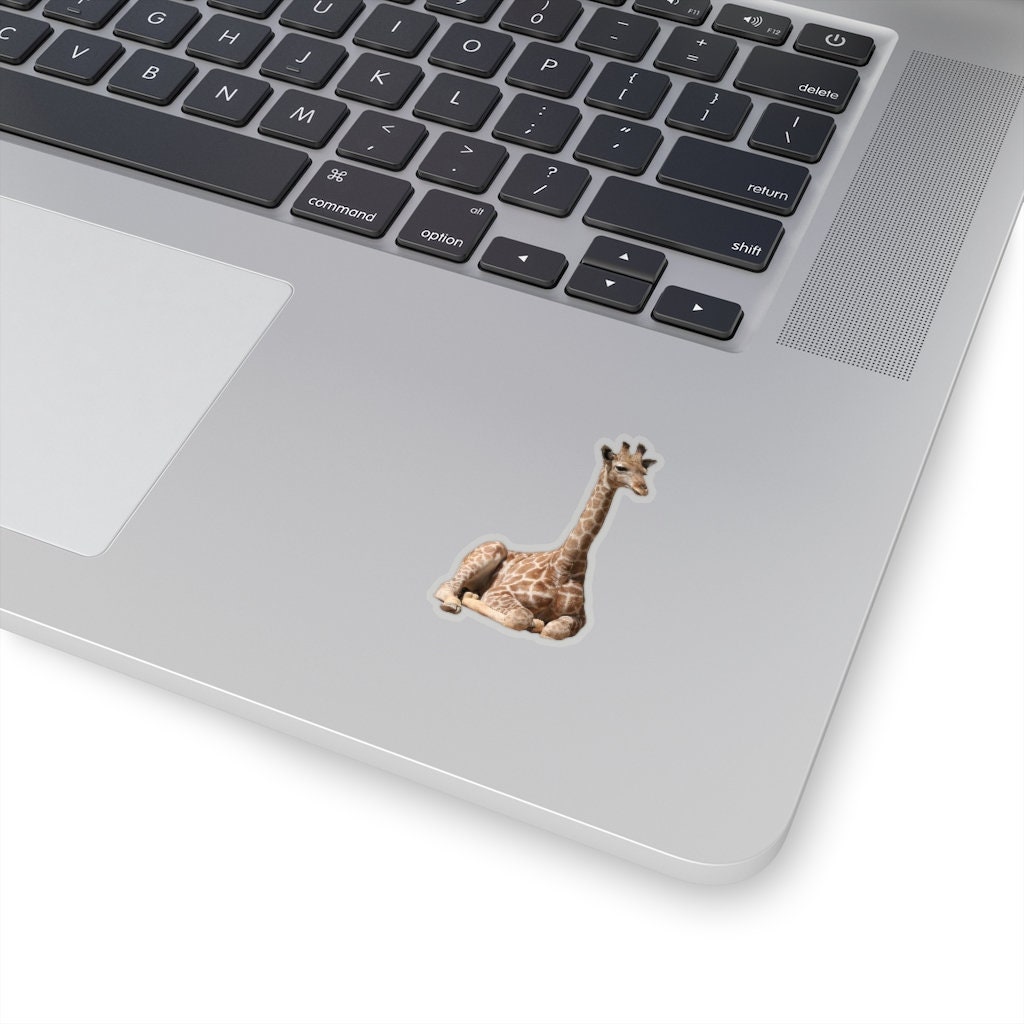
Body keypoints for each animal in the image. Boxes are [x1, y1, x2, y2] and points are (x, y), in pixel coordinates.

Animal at [433, 441, 657, 640]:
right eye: (620, 467)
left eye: (644, 472)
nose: (643, 489)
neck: (566, 564)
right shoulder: (499, 593)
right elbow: (521, 617)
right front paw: (534, 622)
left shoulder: (579, 618)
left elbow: (552, 631)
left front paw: (540, 625)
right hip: (492, 548)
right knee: (446, 586)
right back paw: (455, 602)